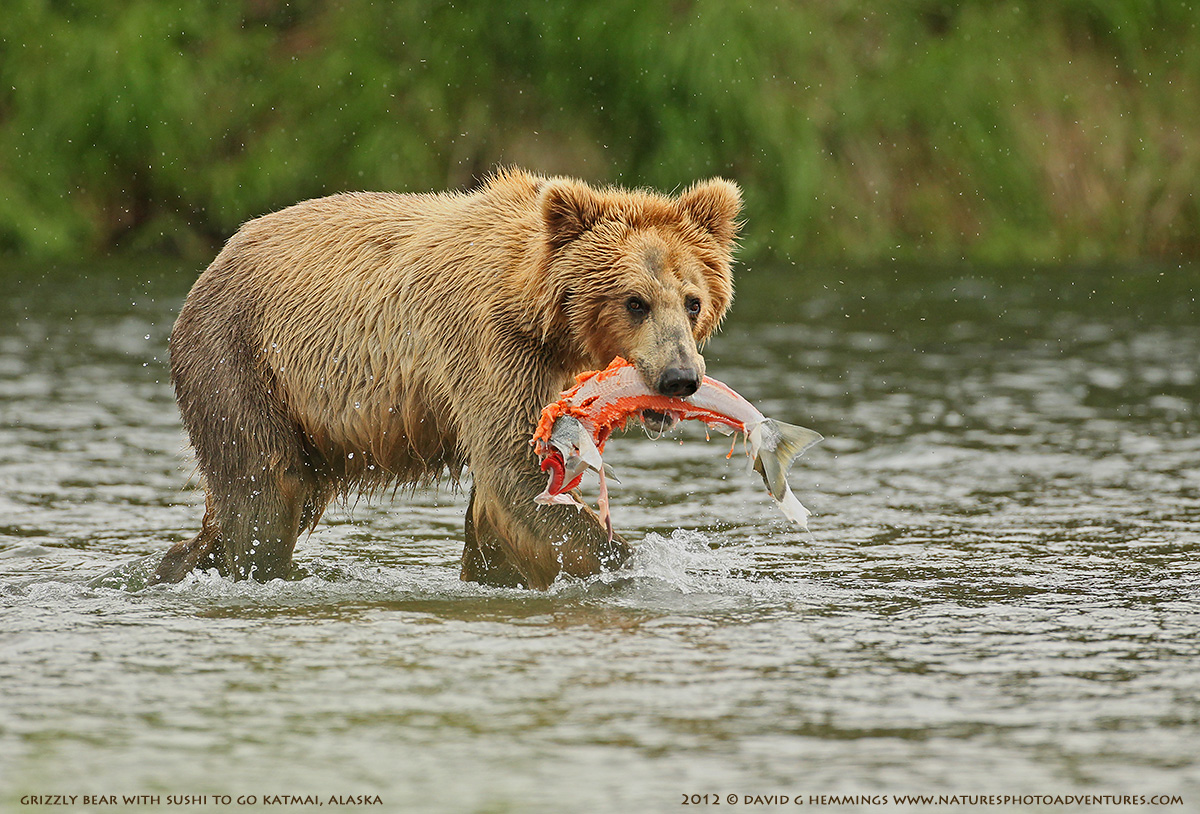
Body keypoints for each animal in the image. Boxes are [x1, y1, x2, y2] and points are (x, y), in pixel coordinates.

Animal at [151, 168, 742, 589]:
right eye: (635, 302)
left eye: (693, 301)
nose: (679, 377)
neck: (547, 321)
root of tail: (215, 260)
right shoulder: (490, 346)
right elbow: (516, 471)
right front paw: (630, 565)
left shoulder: (556, 377)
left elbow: (502, 499)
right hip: (242, 359)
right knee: (265, 493)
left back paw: (172, 563)